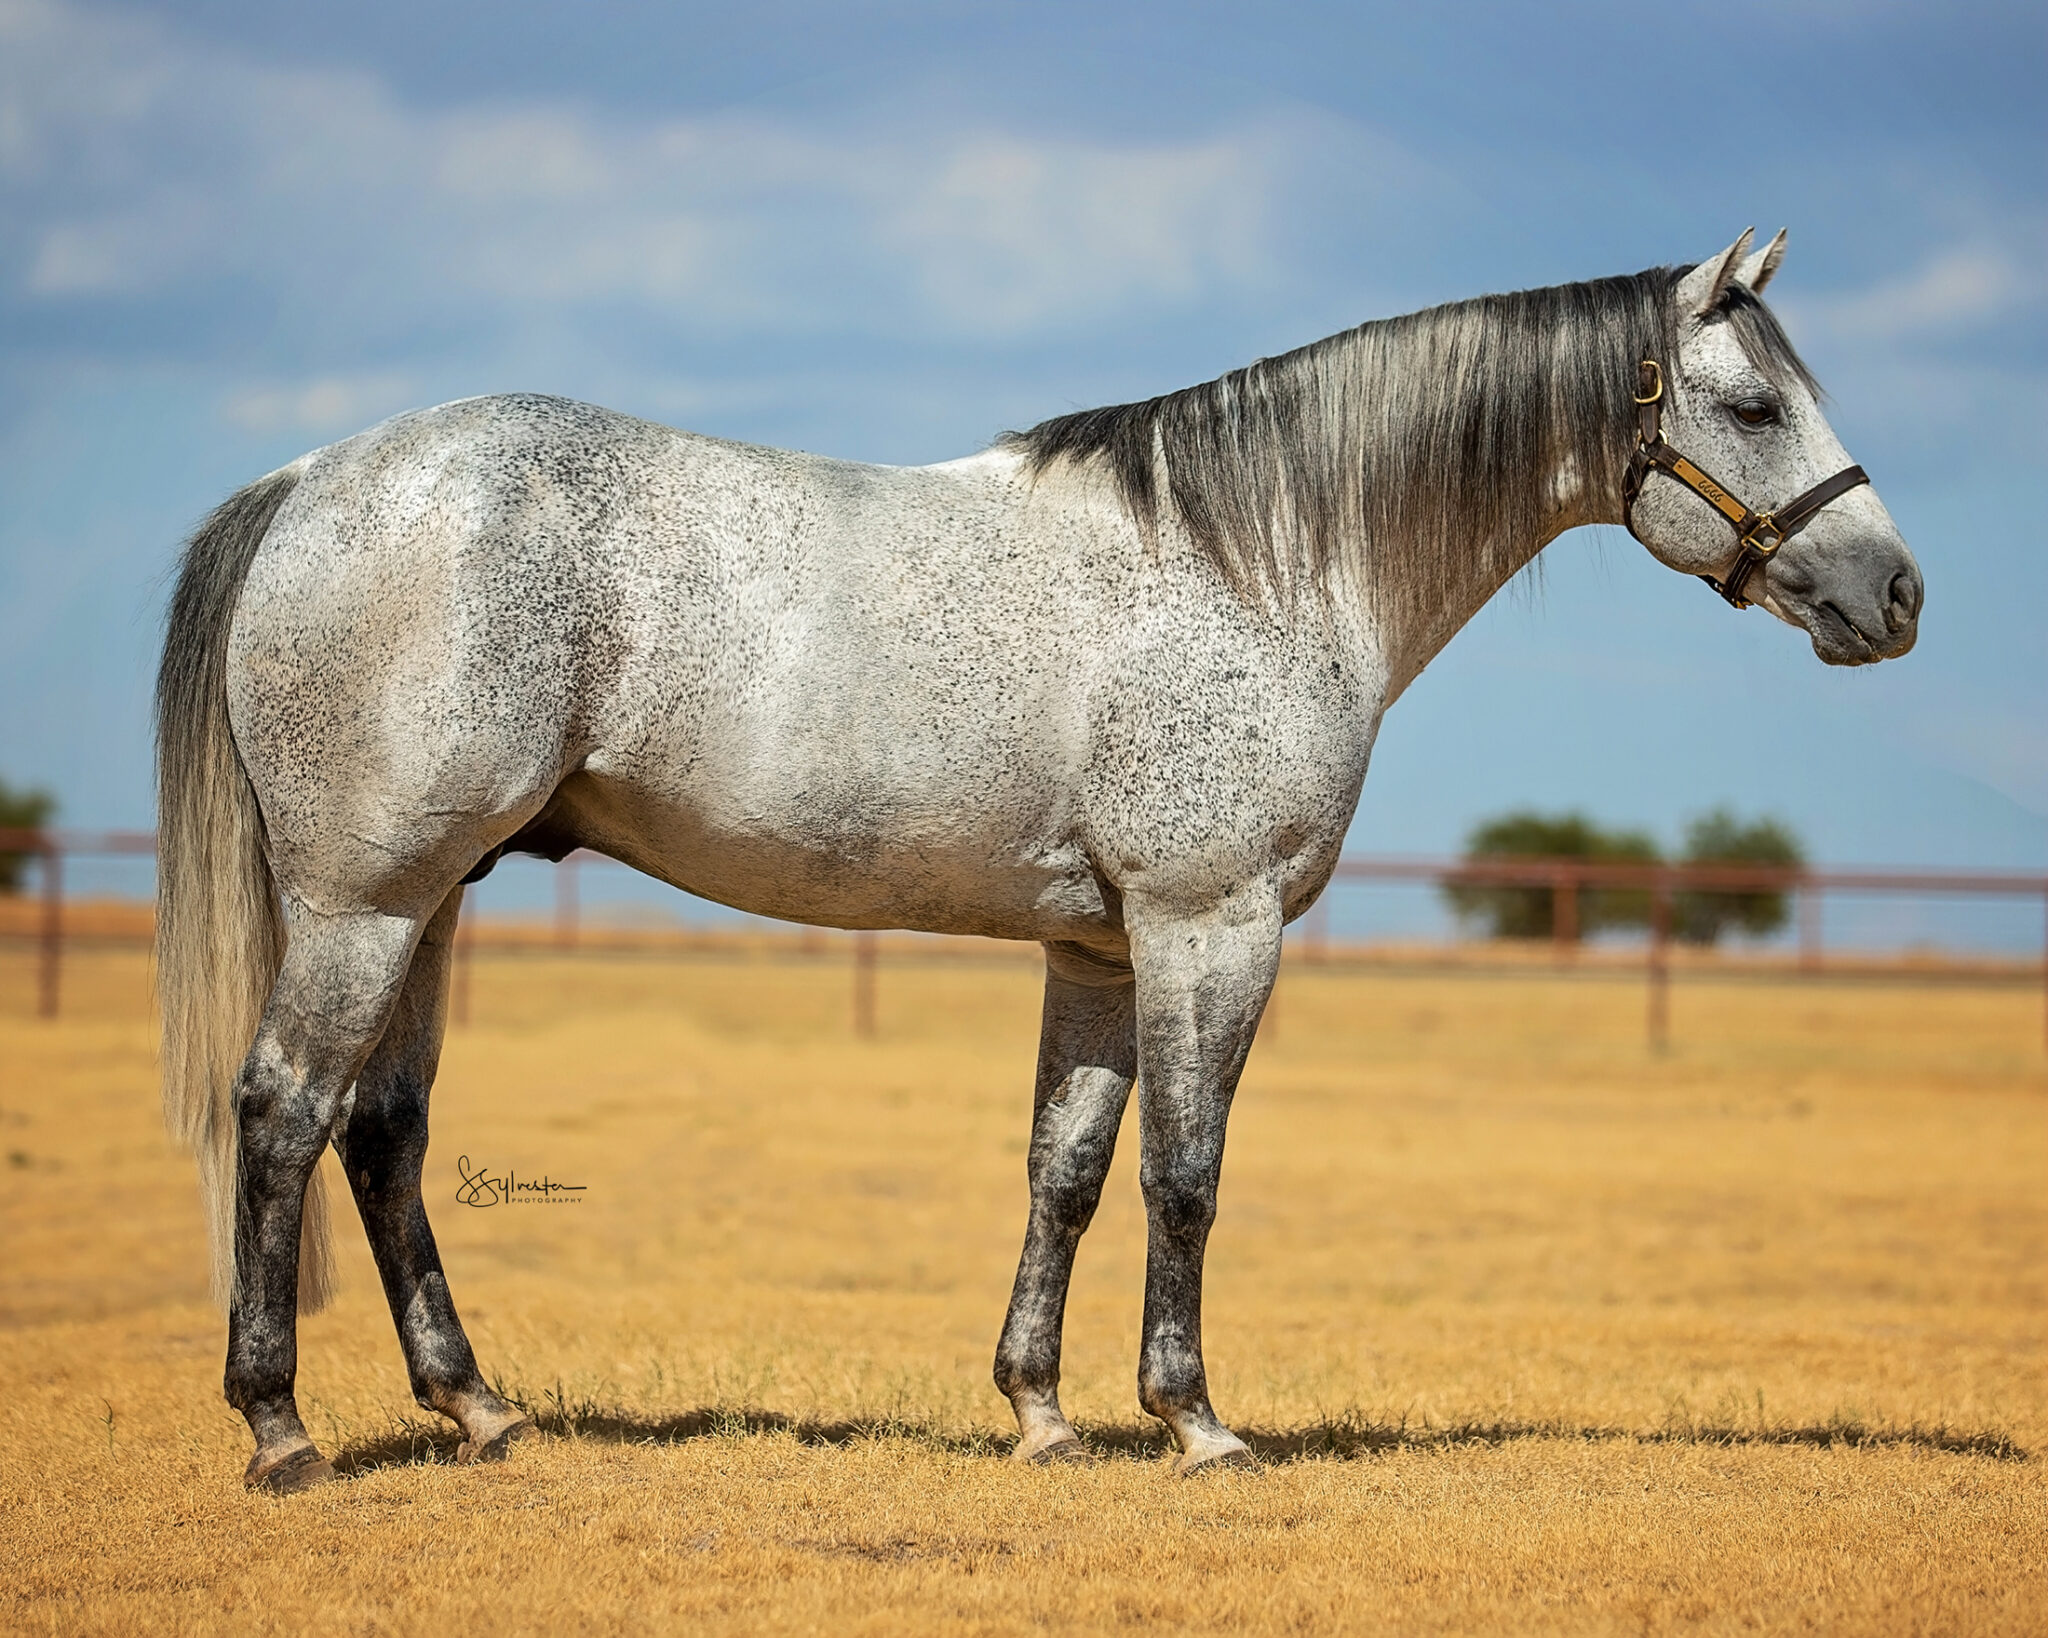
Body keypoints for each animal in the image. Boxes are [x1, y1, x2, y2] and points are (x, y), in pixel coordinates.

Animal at [155, 233, 1916, 1498]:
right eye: (1753, 406)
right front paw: (1196, 1422)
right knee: (286, 1112)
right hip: (366, 902)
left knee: (382, 1134)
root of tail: (307, 482)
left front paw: (1041, 1411)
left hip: (428, 903)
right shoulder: (1213, 927)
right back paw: (280, 1428)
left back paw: (478, 1406)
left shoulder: (1102, 950)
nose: (1895, 592)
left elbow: (1063, 1168)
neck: (1260, 559)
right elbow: (1186, 1173)